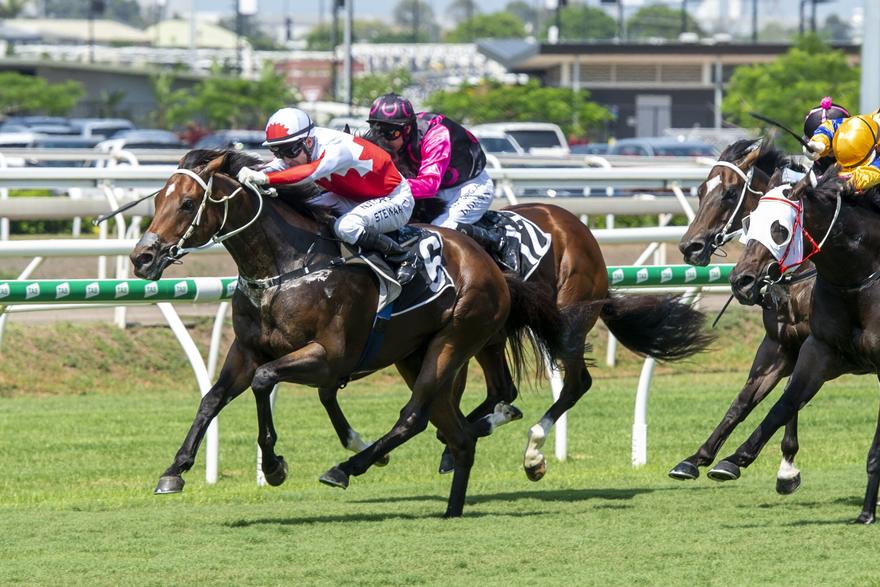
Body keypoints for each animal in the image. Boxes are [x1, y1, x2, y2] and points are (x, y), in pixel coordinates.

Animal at [128, 149, 568, 517]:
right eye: (157, 201)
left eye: (187, 203)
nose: (142, 257)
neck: (288, 268)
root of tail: (492, 266)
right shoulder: (247, 351)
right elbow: (211, 399)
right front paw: (174, 470)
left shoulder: (328, 357)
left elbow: (264, 381)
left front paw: (273, 466)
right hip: (414, 354)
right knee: (456, 435)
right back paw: (451, 509)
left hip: (453, 342)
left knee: (414, 416)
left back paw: (347, 468)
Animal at [670, 139, 814, 493]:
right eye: (700, 190)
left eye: (730, 193)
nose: (690, 247)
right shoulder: (779, 343)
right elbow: (743, 400)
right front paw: (697, 458)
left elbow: (792, 396)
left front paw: (786, 468)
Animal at [721, 168, 880, 524]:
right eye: (749, 222)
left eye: (778, 229)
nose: (741, 281)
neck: (860, 278)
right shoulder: (818, 351)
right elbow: (783, 404)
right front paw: (733, 460)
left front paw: (866, 512)